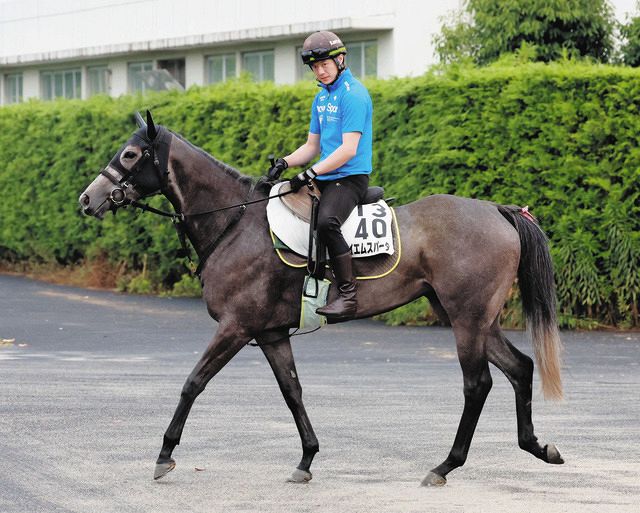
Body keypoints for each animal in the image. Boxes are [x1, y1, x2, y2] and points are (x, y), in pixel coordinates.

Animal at [78, 111, 564, 486]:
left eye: (130, 155)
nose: (88, 200)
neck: (235, 223)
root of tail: (498, 210)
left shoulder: (235, 327)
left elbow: (193, 383)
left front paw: (164, 455)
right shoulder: (271, 333)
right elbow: (292, 391)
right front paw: (307, 458)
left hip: (467, 319)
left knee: (477, 384)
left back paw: (446, 465)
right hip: (474, 319)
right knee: (520, 367)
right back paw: (537, 447)